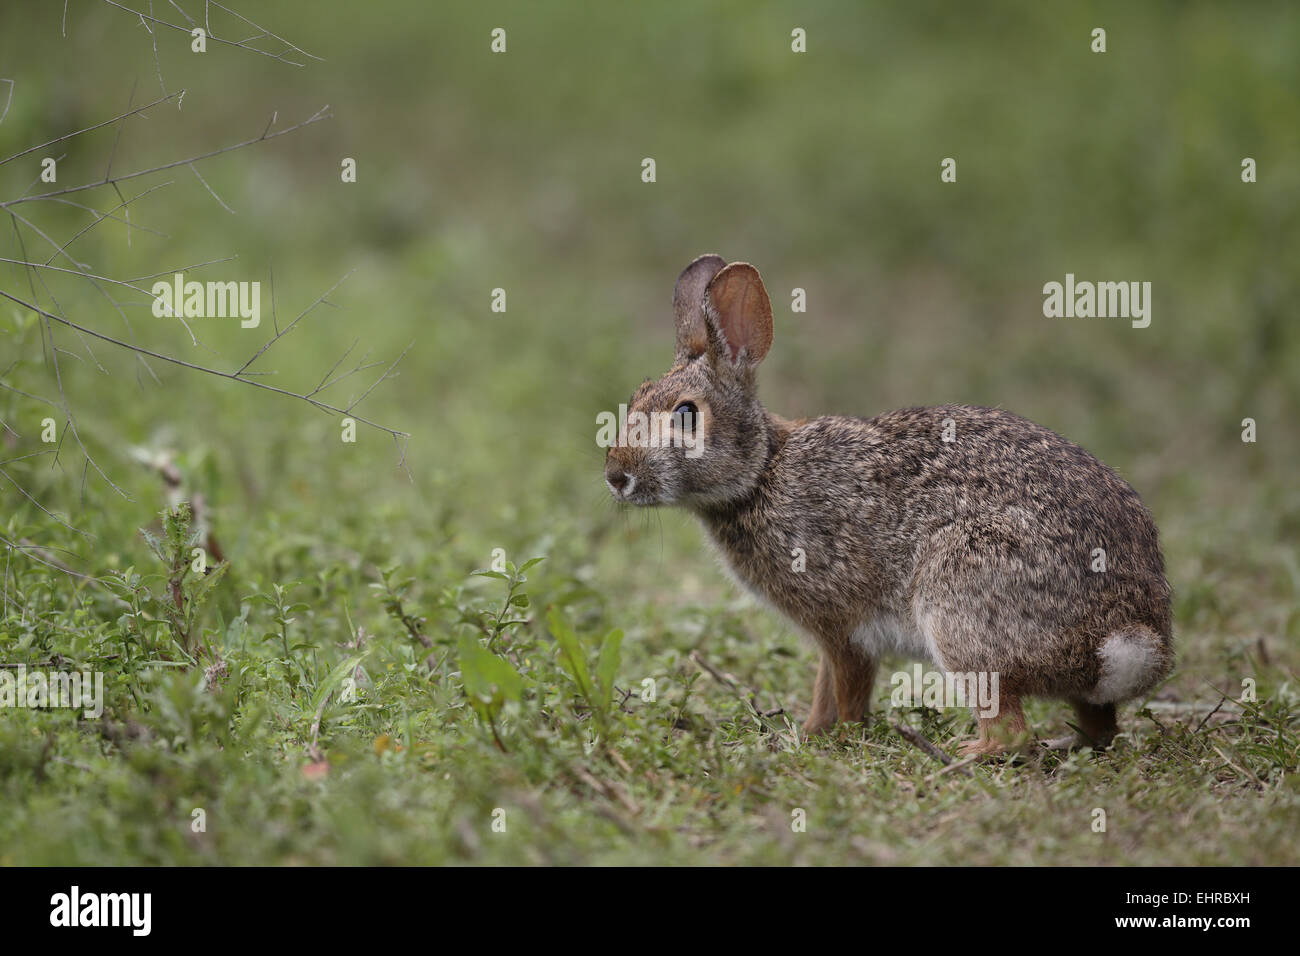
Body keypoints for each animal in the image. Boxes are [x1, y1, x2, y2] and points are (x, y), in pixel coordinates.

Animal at [604, 255, 1174, 756]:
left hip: (961, 600)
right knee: (1100, 727)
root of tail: (1122, 638)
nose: (616, 476)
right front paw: (810, 733)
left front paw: (830, 737)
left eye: (685, 415)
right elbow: (824, 686)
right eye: (635, 397)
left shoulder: (843, 624)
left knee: (1009, 729)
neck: (762, 472)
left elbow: (846, 686)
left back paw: (966, 754)